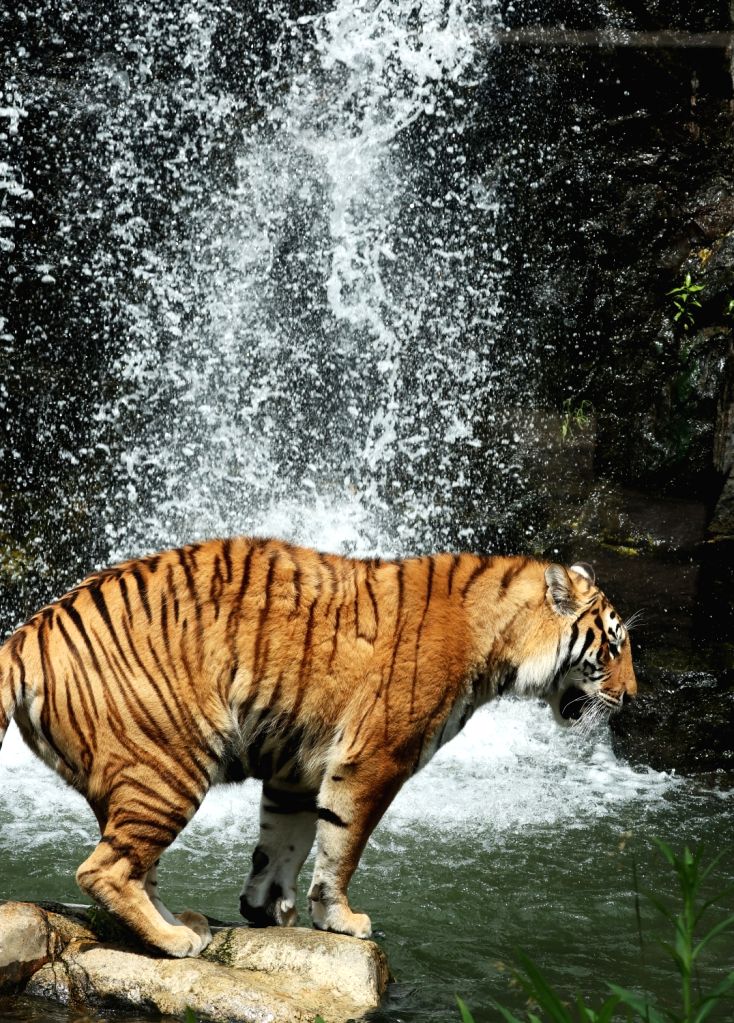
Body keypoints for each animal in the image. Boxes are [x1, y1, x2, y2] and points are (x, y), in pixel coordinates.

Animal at [0, 538, 637, 957]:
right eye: (612, 647)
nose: (631, 697)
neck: (502, 645)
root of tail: (28, 632)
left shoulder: (299, 769)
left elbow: (284, 844)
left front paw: (266, 909)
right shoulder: (374, 760)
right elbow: (343, 846)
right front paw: (341, 918)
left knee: (135, 863)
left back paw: (183, 923)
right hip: (171, 761)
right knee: (103, 869)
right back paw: (175, 939)